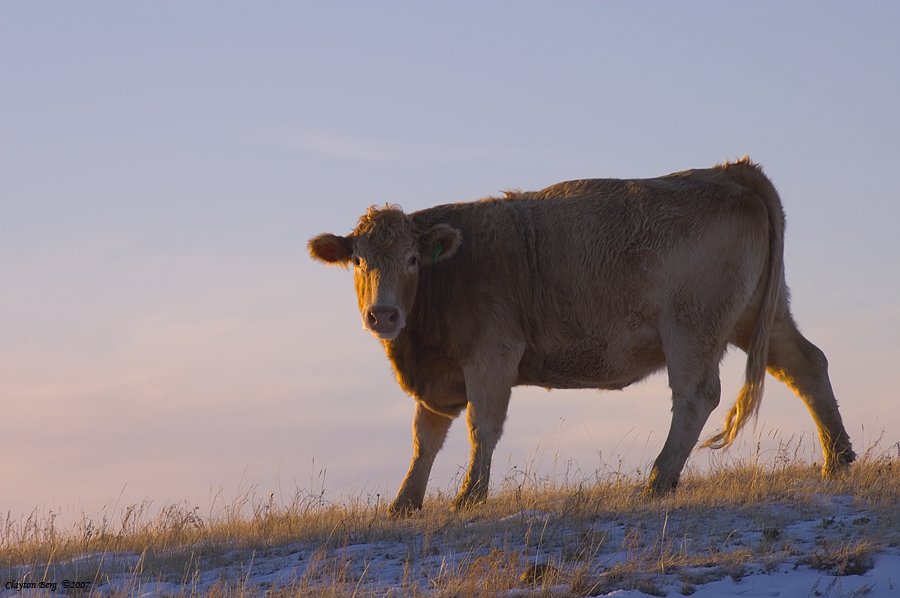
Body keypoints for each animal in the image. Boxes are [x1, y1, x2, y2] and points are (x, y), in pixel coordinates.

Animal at [308, 158, 855, 515]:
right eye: (359, 261)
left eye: (412, 259)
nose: (383, 314)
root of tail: (730, 169)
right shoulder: (438, 377)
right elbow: (425, 438)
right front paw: (405, 502)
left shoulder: (492, 355)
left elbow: (481, 426)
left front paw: (469, 495)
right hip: (760, 314)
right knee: (808, 364)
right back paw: (838, 459)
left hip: (692, 326)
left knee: (697, 395)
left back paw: (658, 479)